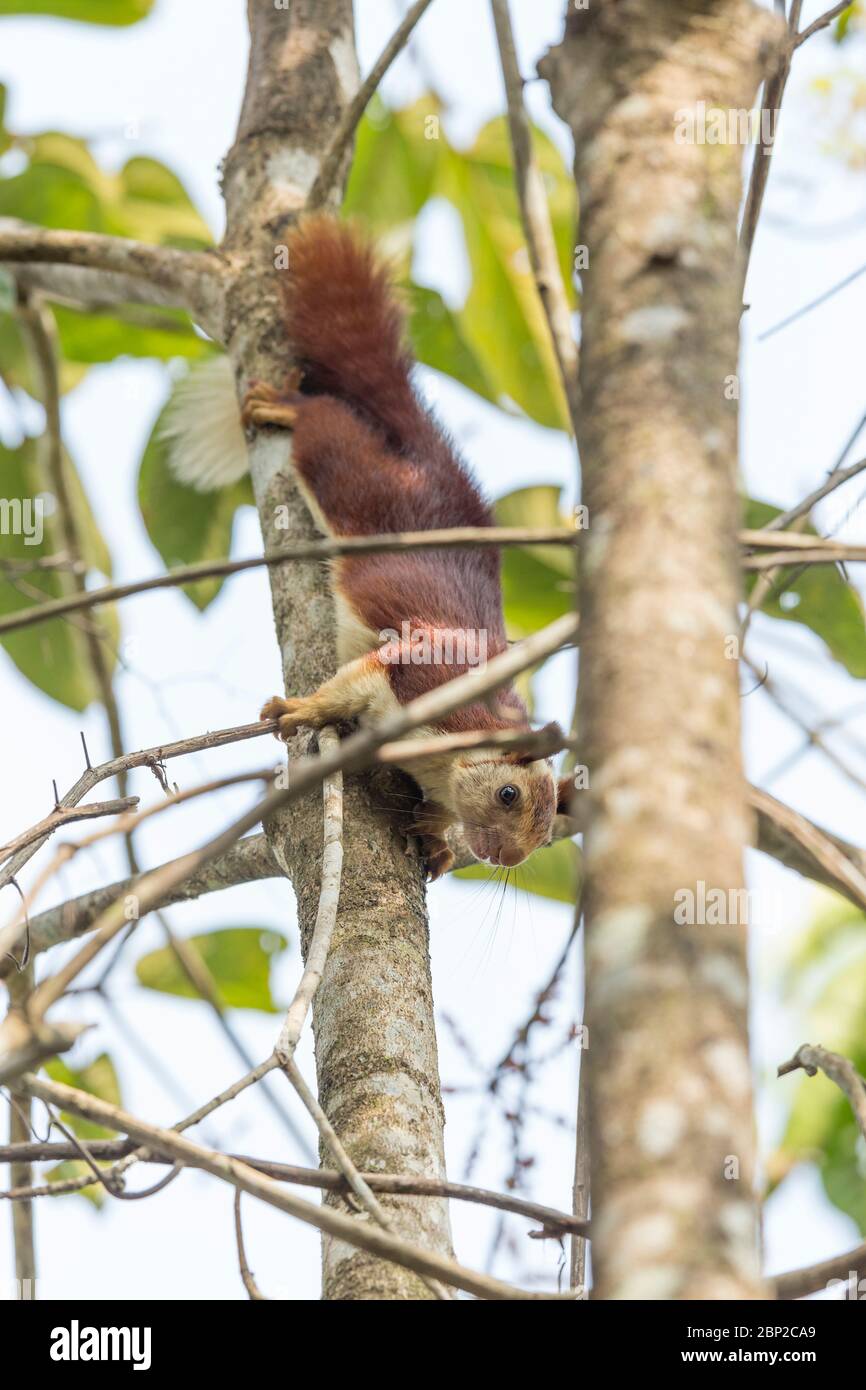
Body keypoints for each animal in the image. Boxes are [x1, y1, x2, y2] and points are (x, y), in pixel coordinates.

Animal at [163, 215, 571, 879]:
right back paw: (287, 407)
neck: (443, 762)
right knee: (328, 431)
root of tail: (433, 477)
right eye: (509, 794)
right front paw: (304, 711)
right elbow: (357, 680)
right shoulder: (426, 681)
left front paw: (434, 836)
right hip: (363, 485)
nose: (504, 855)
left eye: (543, 835)